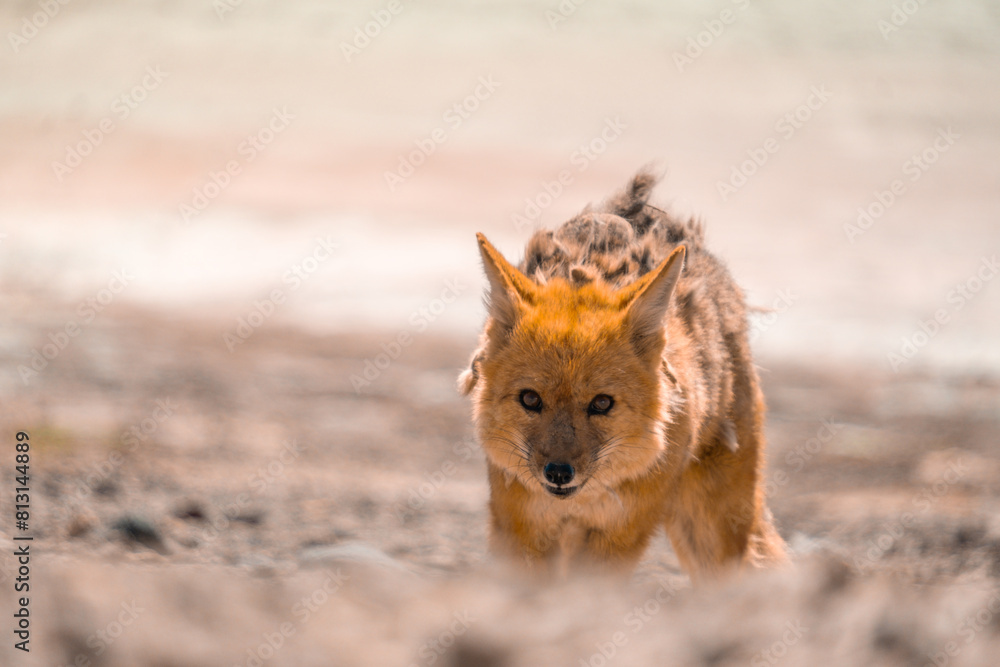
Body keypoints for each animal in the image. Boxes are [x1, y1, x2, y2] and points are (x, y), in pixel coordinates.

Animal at [459, 170, 787, 580]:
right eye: (530, 399)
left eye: (602, 404)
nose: (558, 473)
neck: (579, 504)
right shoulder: (522, 530)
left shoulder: (618, 537)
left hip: (712, 537)